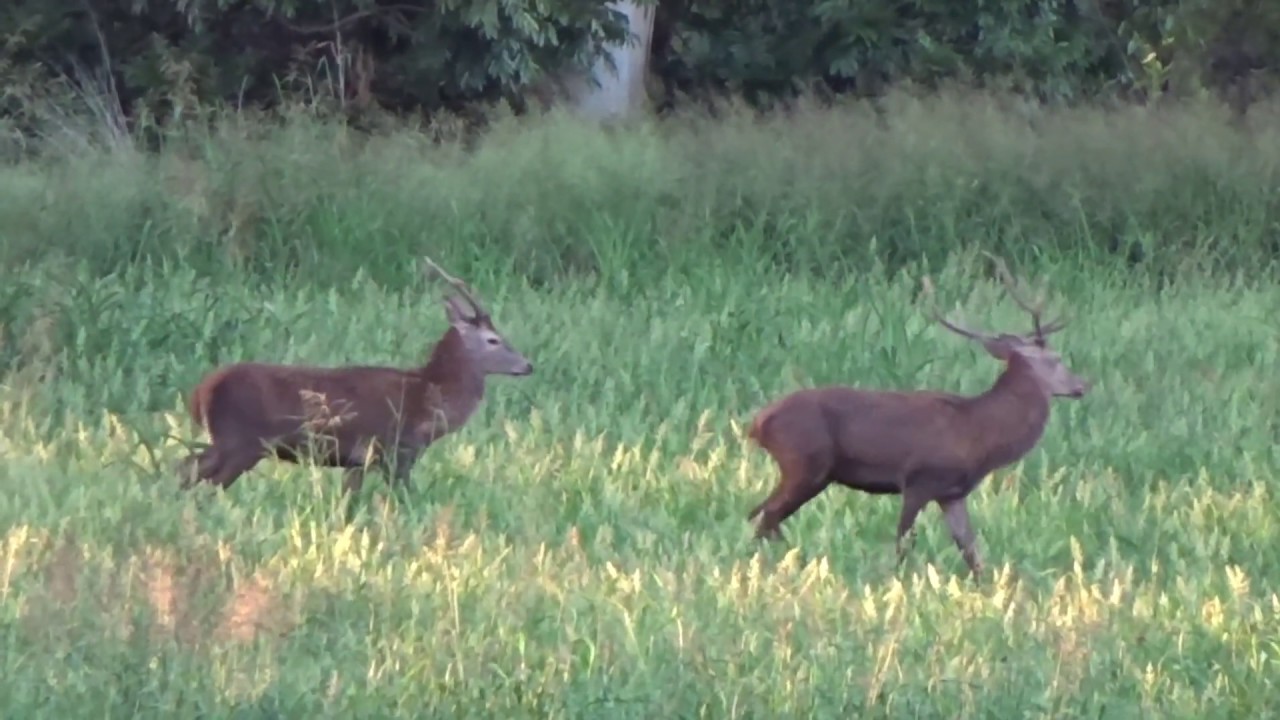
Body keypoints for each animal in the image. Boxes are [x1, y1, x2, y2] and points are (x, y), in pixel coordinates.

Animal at [176, 256, 534, 495]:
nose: (528, 365)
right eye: (493, 339)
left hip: (229, 442)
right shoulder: (397, 451)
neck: (431, 400)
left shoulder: (359, 462)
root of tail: (201, 391)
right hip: (241, 441)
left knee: (184, 466)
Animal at [744, 255, 1089, 575]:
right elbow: (903, 541)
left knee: (758, 514)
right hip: (806, 462)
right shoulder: (919, 478)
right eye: (1056, 359)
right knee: (766, 516)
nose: (1083, 384)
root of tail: (758, 423)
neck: (981, 434)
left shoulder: (952, 493)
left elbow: (972, 552)